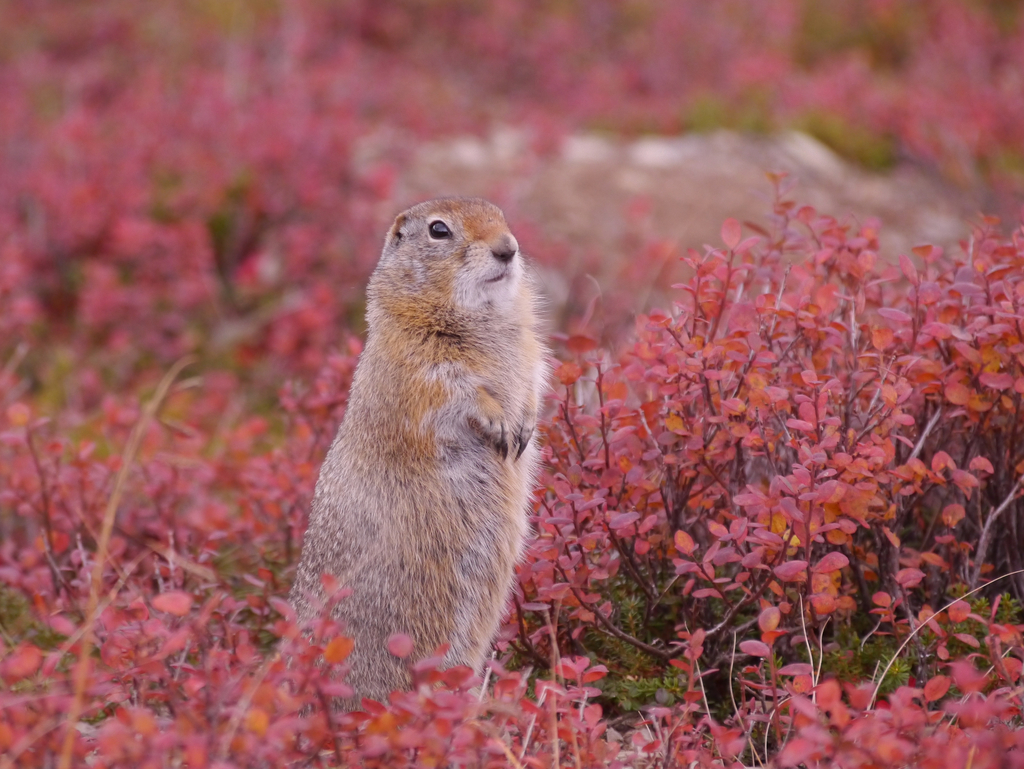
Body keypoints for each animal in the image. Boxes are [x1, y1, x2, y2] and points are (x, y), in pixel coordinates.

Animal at [289, 197, 548, 706]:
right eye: (439, 230)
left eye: (500, 215)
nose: (507, 249)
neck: (483, 316)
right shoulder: (420, 361)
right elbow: (454, 389)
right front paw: (499, 423)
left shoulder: (529, 346)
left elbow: (534, 375)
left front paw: (523, 425)